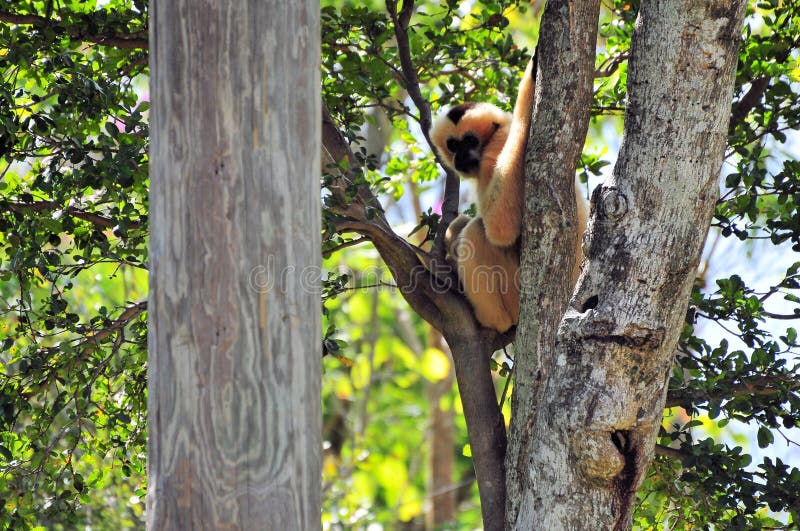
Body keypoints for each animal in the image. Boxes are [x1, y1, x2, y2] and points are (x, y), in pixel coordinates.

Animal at [430, 59, 587, 332]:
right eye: (453, 145)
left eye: (469, 141)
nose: (460, 156)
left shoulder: (493, 151)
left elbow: (500, 228)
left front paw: (529, 86)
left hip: (515, 289)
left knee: (476, 230)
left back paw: (491, 319)